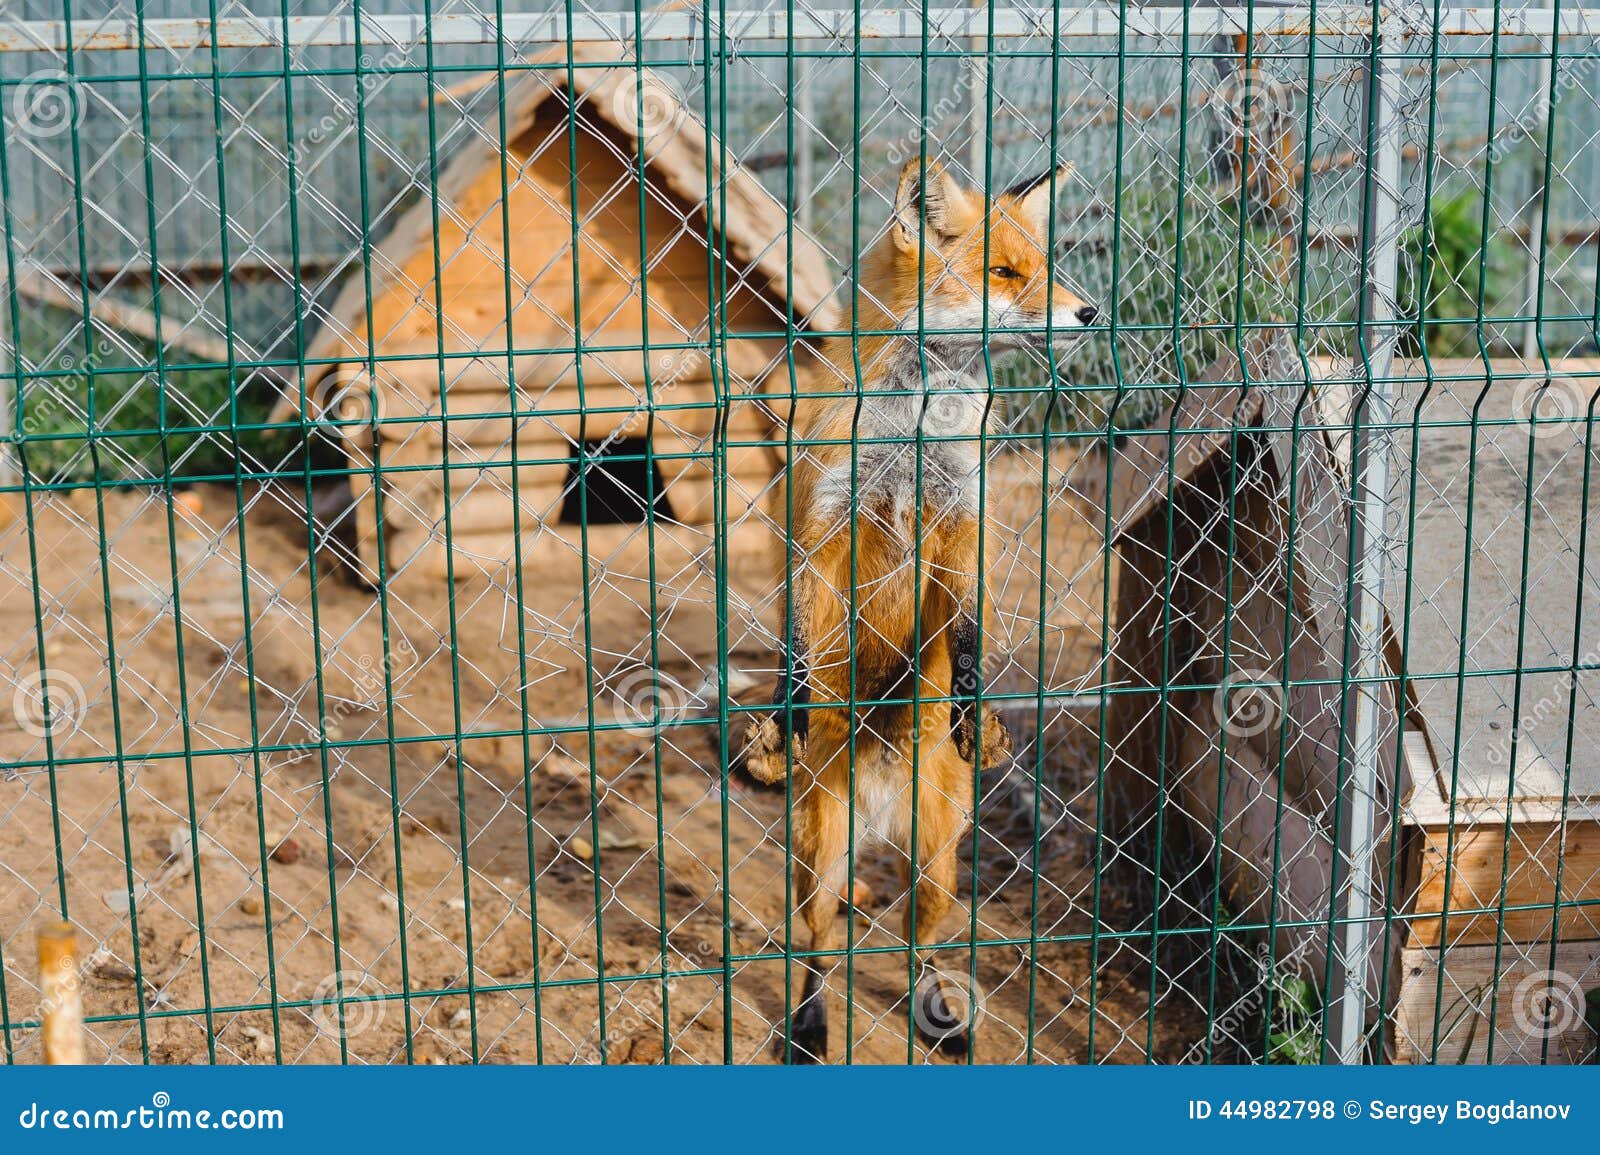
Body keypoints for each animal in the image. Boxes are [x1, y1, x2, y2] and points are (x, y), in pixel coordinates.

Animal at [738, 157, 1096, 1062]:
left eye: (1044, 264)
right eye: (1004, 273)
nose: (1091, 312)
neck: (914, 427)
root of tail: (881, 811)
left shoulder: (959, 522)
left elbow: (967, 630)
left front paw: (975, 701)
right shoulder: (823, 524)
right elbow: (797, 631)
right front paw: (789, 701)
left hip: (939, 863)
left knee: (920, 942)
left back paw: (941, 1014)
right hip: (819, 860)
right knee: (820, 944)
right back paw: (809, 1026)